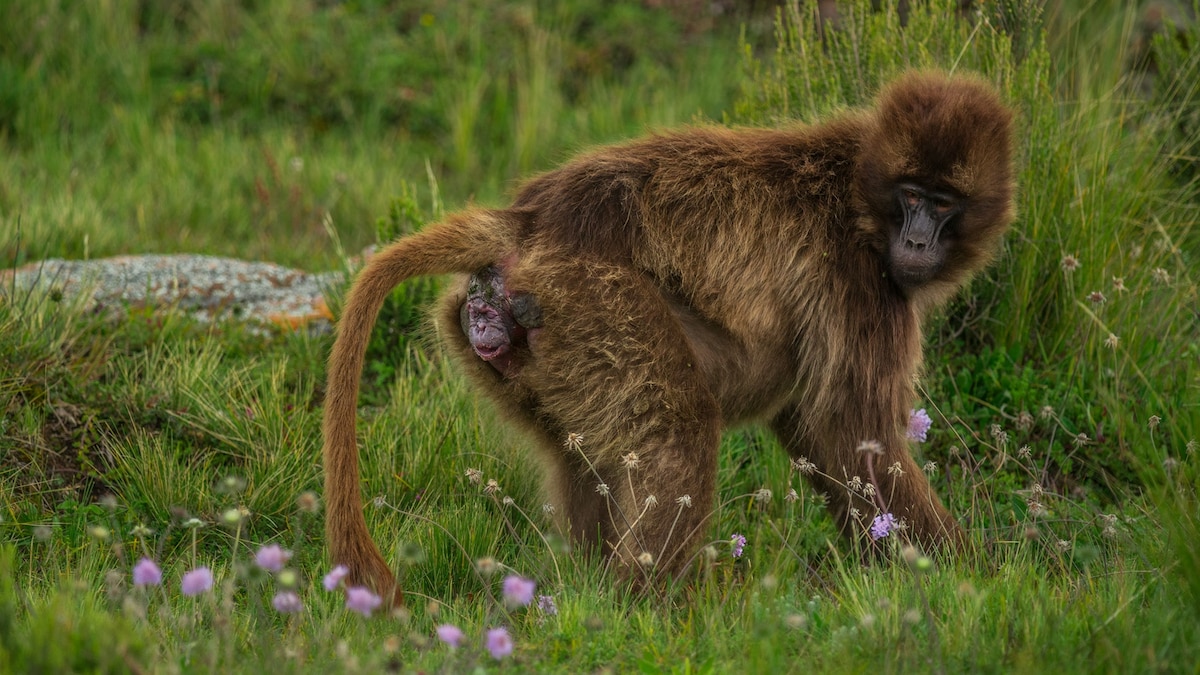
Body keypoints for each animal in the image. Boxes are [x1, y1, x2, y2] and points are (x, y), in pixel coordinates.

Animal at [322, 70, 1016, 604]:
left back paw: (592, 594)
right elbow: (853, 432)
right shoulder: (861, 280)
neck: (860, 191)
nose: (918, 243)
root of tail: (528, 219)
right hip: (590, 302)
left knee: (589, 456)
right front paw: (968, 578)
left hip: (512, 341)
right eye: (912, 196)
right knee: (679, 427)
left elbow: (815, 430)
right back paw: (650, 612)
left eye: (944, 202)